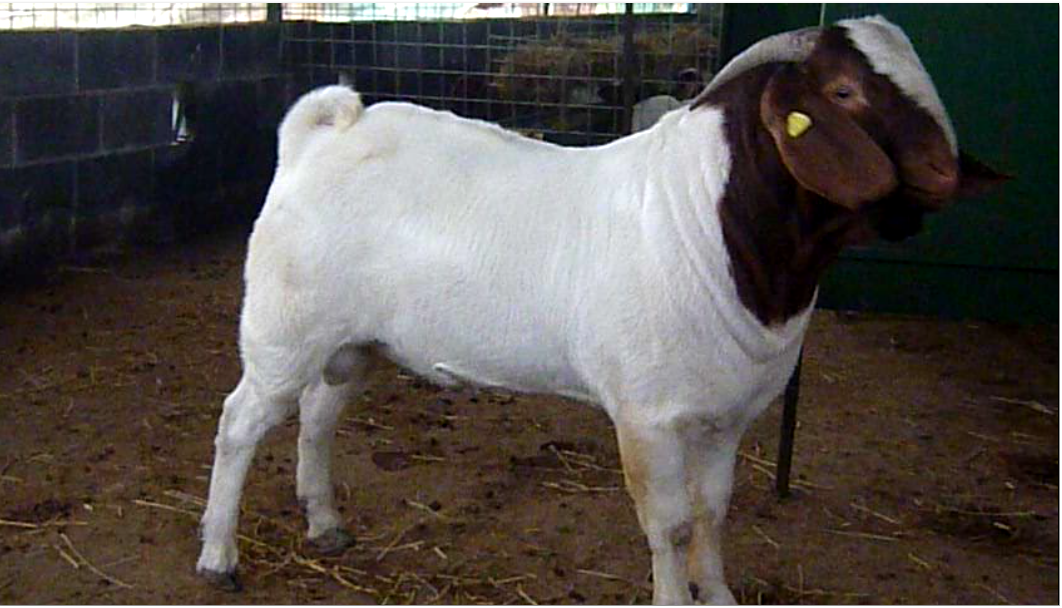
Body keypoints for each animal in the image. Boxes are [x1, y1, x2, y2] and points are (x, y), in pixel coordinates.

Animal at [196, 15, 1004, 604]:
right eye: (841, 92)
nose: (947, 172)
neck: (713, 223)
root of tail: (323, 134)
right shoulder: (648, 417)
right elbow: (669, 525)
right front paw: (675, 598)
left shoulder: (728, 414)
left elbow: (714, 509)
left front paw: (719, 595)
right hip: (281, 331)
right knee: (240, 422)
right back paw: (218, 554)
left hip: (354, 342)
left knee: (319, 417)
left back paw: (325, 523)